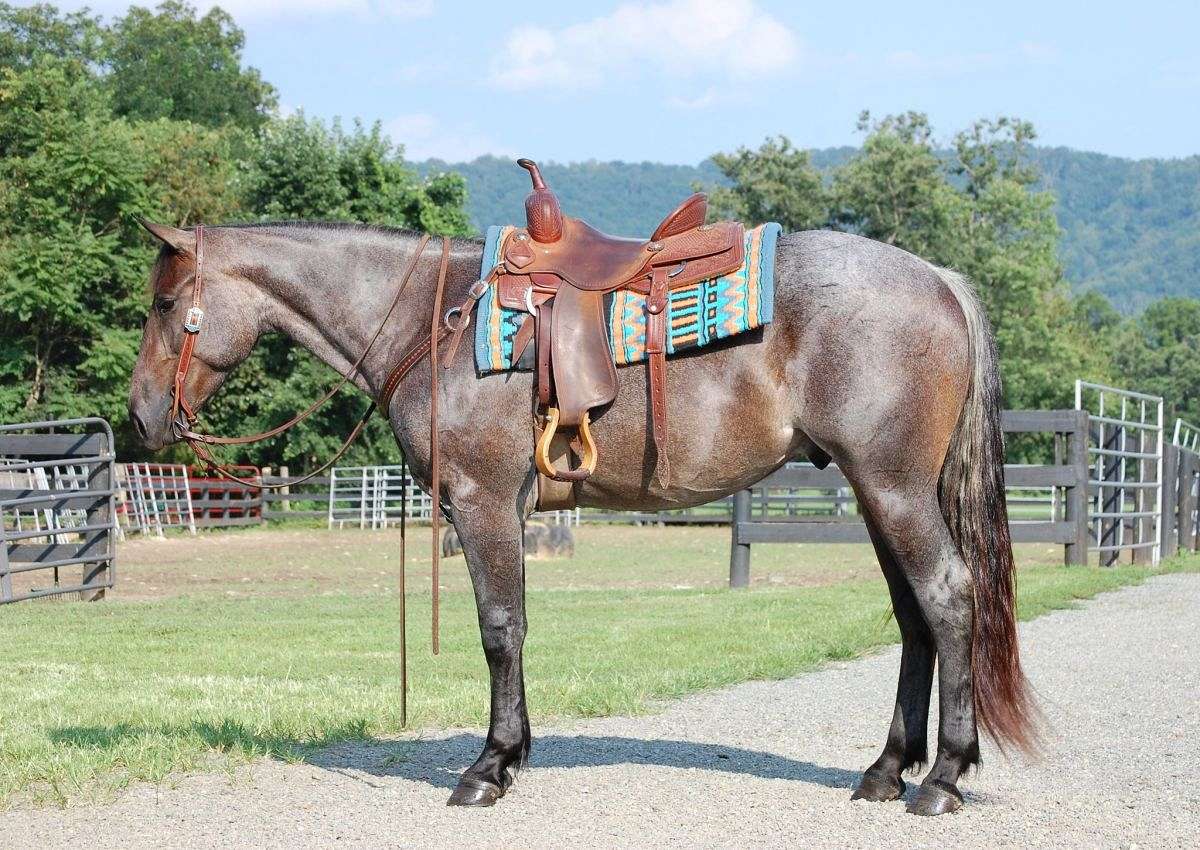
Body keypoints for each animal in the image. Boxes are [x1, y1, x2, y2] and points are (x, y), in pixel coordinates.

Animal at [128, 220, 1037, 816]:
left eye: (168, 303)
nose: (139, 417)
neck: (433, 320)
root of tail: (939, 280)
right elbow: (514, 627)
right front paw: (512, 754)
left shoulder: (484, 502)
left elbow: (500, 629)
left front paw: (490, 766)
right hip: (882, 494)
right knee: (914, 618)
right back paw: (886, 770)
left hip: (894, 488)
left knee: (948, 598)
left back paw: (943, 778)